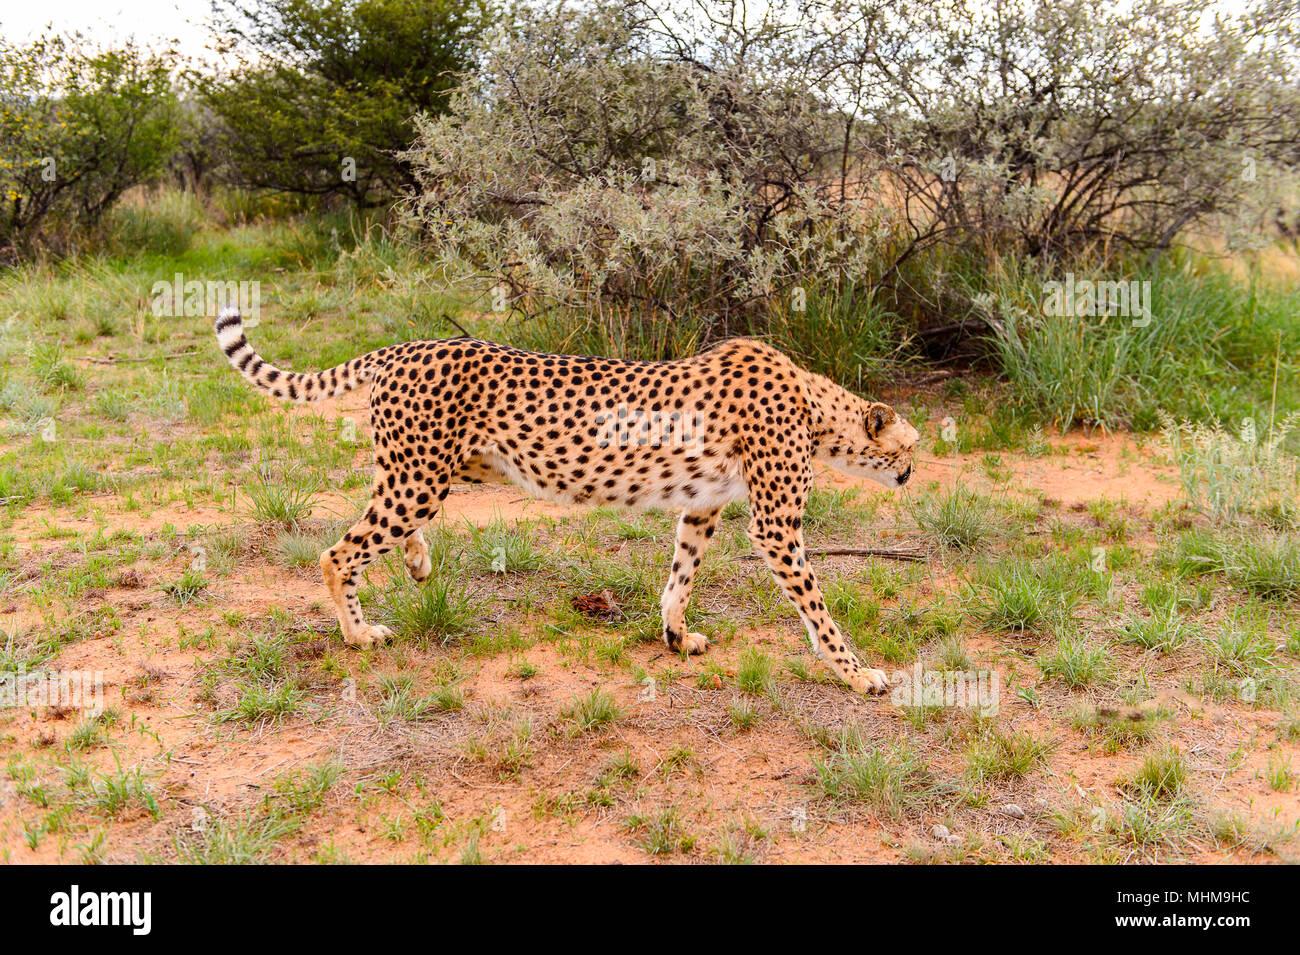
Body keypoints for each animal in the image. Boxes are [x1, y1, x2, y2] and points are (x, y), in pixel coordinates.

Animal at [215, 306, 918, 694]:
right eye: (907, 450)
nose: (912, 476)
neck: (816, 406)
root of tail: (408, 345)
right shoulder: (775, 526)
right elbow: (819, 610)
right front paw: (858, 673)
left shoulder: (702, 504)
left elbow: (680, 576)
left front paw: (674, 637)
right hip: (422, 477)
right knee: (339, 553)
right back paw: (359, 634)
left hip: (443, 469)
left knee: (385, 519)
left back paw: (415, 560)